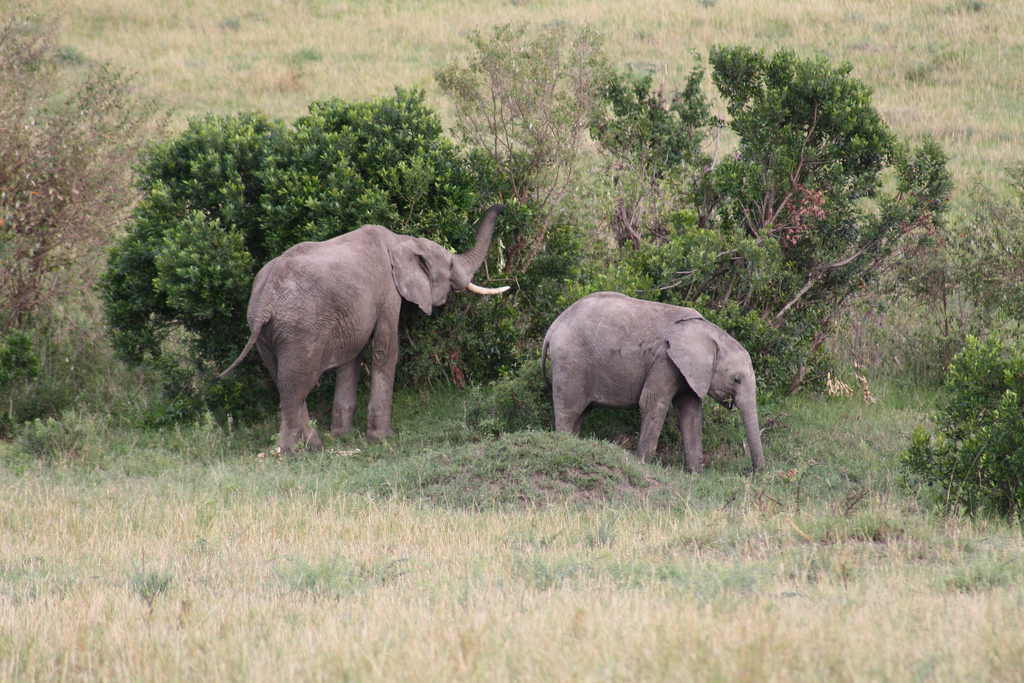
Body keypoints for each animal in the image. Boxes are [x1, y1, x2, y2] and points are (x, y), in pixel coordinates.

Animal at [219, 205, 508, 452]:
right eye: (449, 265)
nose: (503, 207)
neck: (402, 240)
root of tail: (264, 300)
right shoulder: (388, 291)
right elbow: (385, 350)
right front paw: (383, 438)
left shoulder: (352, 313)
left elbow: (352, 357)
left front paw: (344, 436)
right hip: (299, 330)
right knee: (295, 386)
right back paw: (294, 453)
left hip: (265, 335)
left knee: (283, 380)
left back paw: (317, 446)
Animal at [541, 291, 764, 472]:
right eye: (736, 379)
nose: (754, 472)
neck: (709, 333)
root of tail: (554, 326)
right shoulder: (664, 361)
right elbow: (652, 403)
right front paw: (641, 464)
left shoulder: (688, 372)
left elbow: (690, 412)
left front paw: (696, 474)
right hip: (571, 362)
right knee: (569, 410)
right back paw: (565, 444)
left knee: (581, 412)